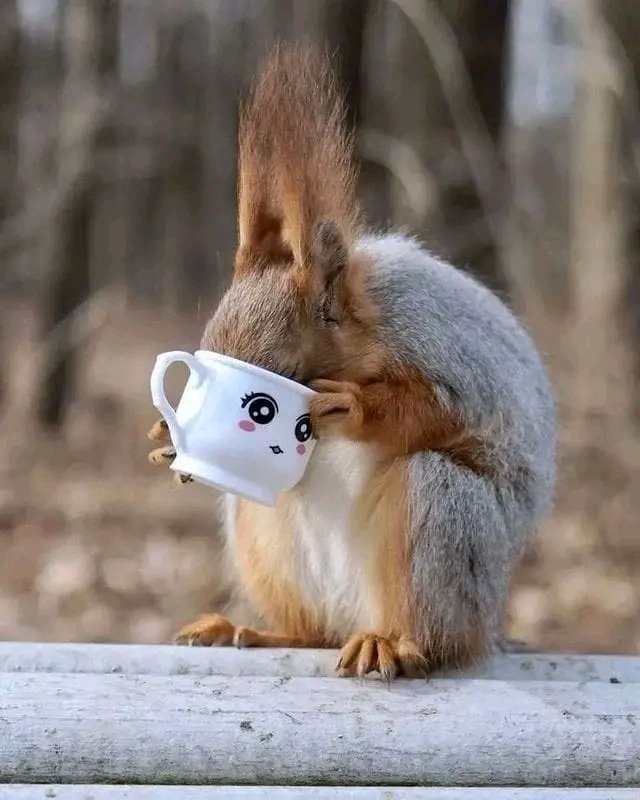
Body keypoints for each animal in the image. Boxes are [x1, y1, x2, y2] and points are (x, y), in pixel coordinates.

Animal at [148, 43, 556, 679]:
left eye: (279, 379)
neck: (356, 334)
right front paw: (166, 436)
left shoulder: (438, 349)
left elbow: (435, 411)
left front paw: (351, 405)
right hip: (263, 540)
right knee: (311, 631)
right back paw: (246, 629)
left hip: (444, 519)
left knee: (435, 632)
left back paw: (392, 643)